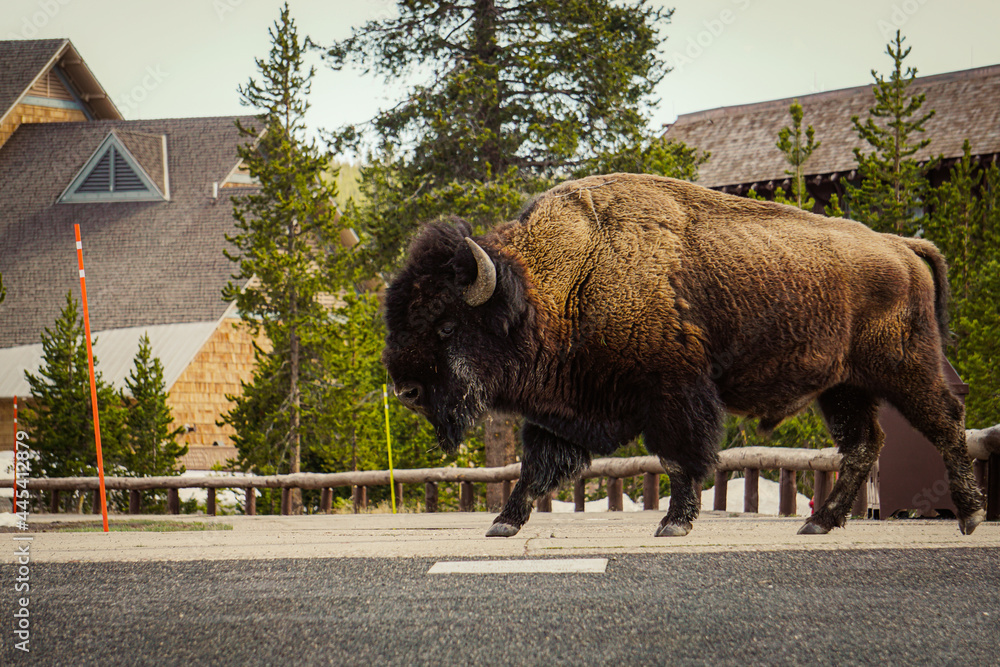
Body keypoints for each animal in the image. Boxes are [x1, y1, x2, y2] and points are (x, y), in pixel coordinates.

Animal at [381, 173, 986, 538]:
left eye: (447, 324)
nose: (406, 391)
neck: (560, 281)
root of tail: (903, 245)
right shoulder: (563, 410)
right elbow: (536, 465)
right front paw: (503, 524)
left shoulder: (673, 394)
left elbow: (680, 458)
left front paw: (674, 523)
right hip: (843, 388)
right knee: (864, 444)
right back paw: (820, 524)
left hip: (904, 369)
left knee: (944, 421)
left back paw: (971, 517)